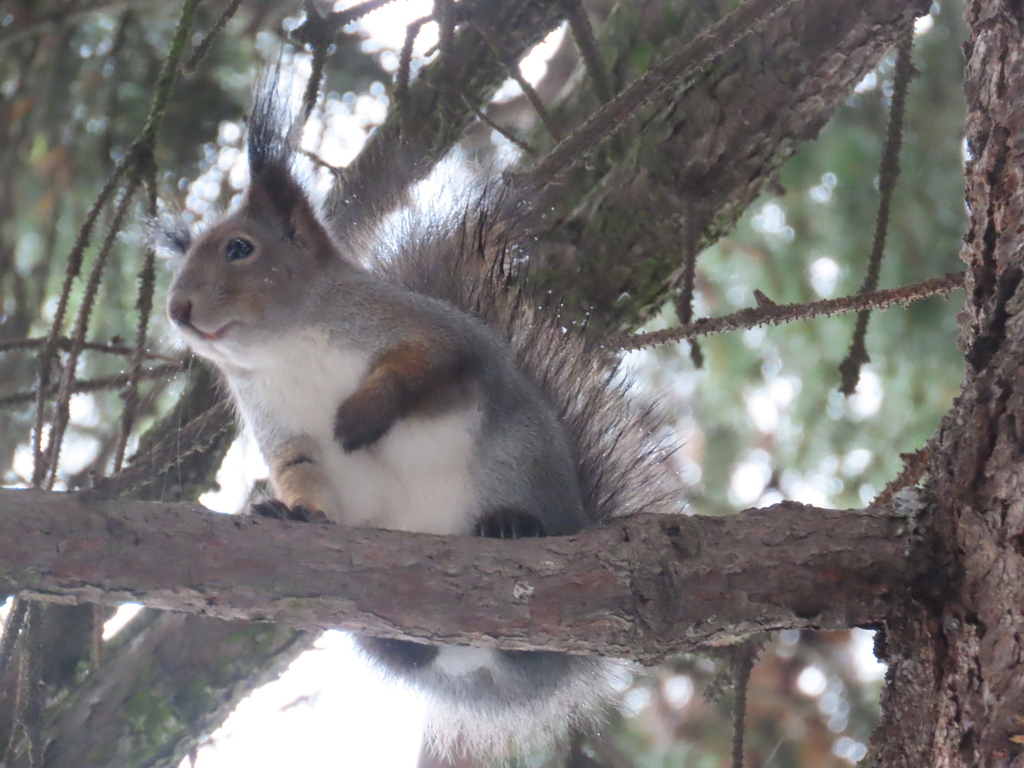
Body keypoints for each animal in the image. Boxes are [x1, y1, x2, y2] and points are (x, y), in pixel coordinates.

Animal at [155, 77, 680, 761]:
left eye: (239, 248)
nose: (178, 310)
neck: (283, 345)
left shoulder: (425, 331)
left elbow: (418, 369)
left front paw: (360, 417)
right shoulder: (281, 428)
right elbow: (301, 469)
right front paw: (292, 511)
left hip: (519, 459)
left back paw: (514, 529)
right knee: (404, 653)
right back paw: (401, 637)